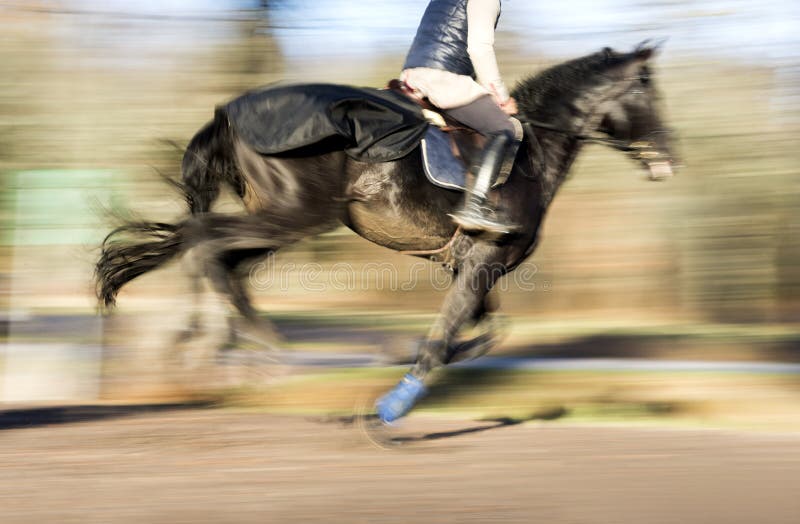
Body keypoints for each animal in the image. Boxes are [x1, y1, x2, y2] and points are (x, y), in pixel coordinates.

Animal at [96, 43, 676, 423]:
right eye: (649, 92)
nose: (669, 159)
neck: (532, 152)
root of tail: (228, 115)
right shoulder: (483, 262)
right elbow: (450, 338)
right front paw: (394, 397)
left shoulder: (474, 267)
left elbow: (486, 332)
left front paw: (394, 351)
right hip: (293, 214)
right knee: (204, 239)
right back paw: (220, 342)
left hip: (280, 224)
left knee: (217, 255)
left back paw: (224, 345)